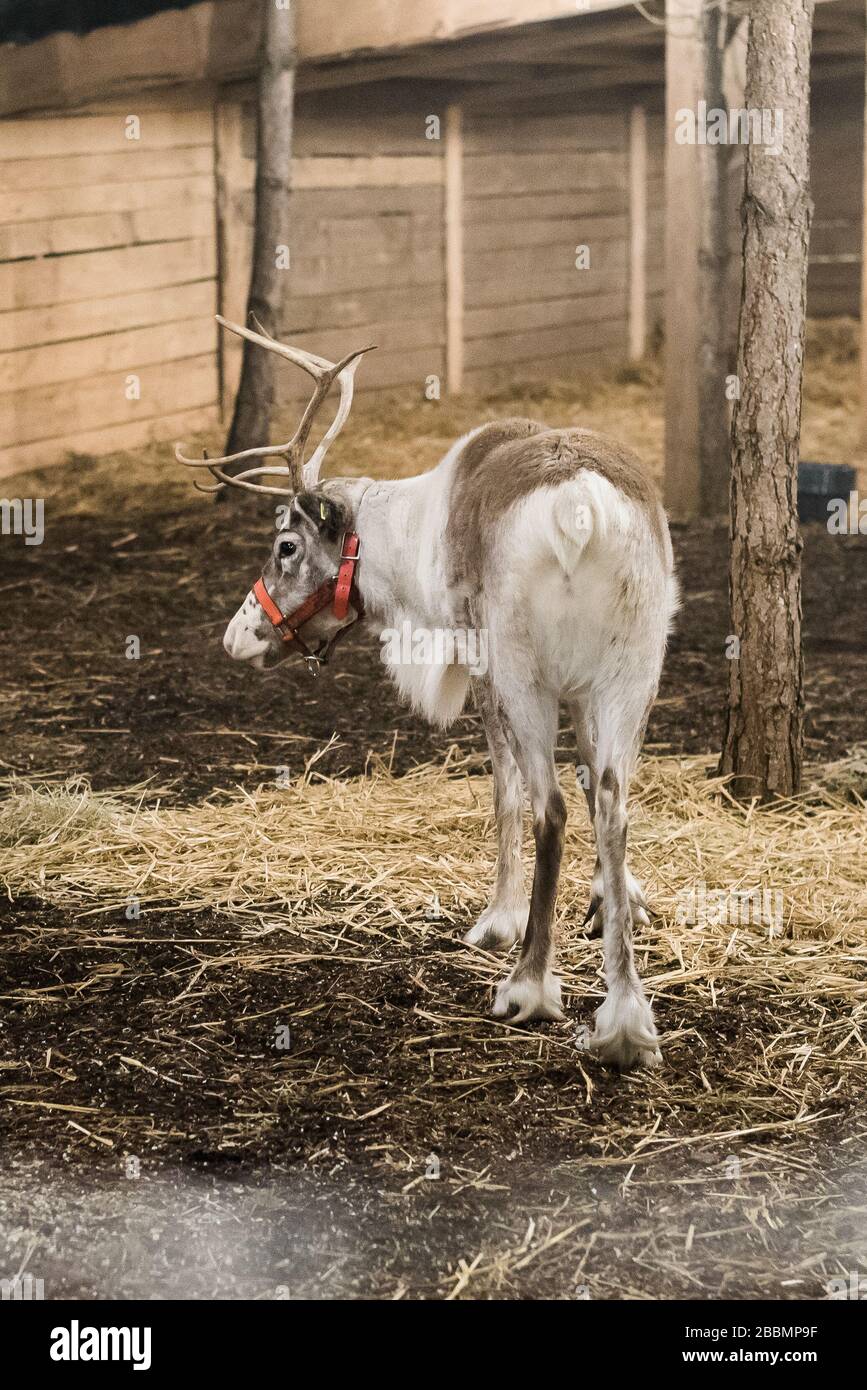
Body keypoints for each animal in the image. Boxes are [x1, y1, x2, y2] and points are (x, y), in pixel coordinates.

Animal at [177, 318, 678, 1070]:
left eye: (287, 546)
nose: (237, 637)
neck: (417, 536)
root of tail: (578, 510)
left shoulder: (480, 663)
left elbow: (505, 793)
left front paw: (498, 920)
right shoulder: (589, 690)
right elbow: (597, 788)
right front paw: (615, 907)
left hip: (524, 668)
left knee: (549, 807)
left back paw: (527, 987)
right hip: (634, 667)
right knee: (614, 802)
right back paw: (625, 1019)